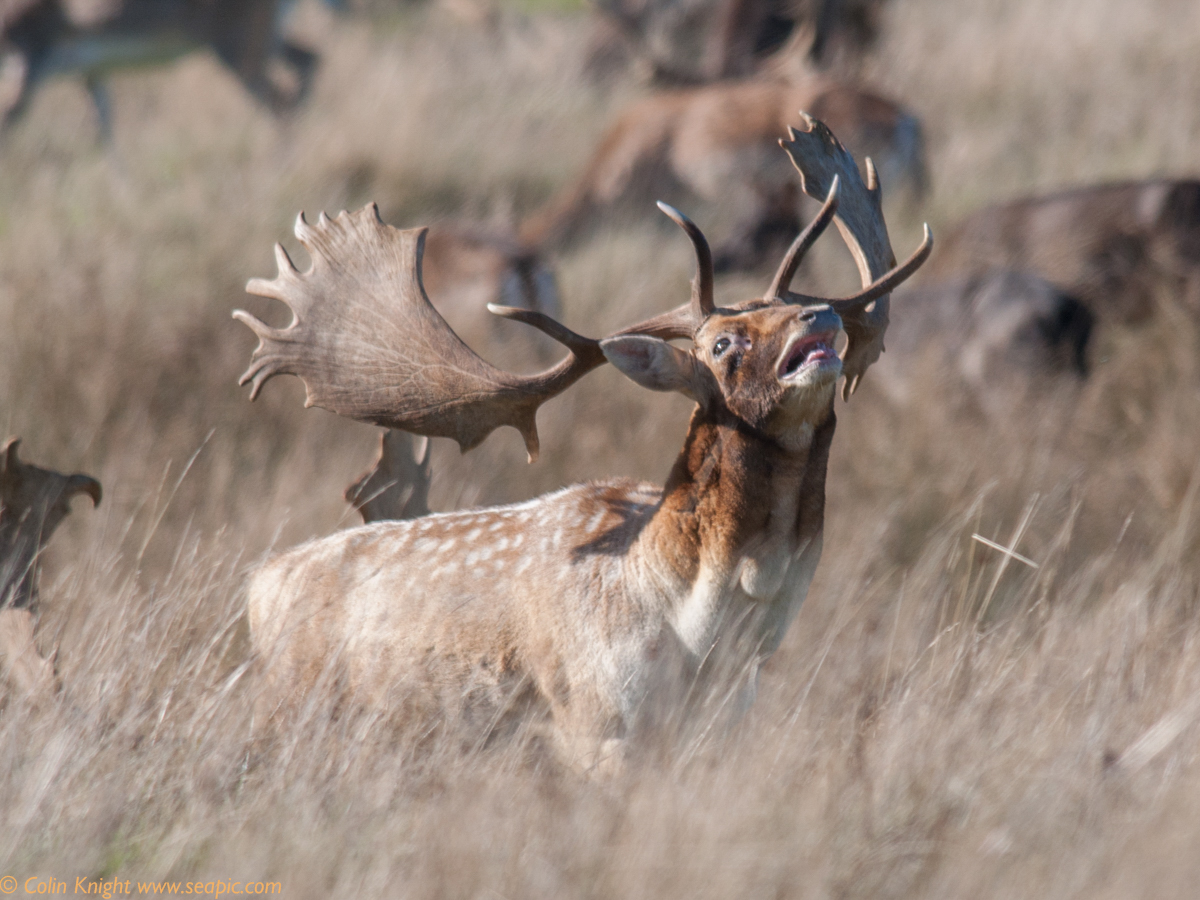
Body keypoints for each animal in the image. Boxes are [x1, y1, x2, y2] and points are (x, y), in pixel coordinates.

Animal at [0, 0, 321, 139]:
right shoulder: (90, 74)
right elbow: (105, 133)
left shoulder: (27, 66)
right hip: (261, 43)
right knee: (308, 61)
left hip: (236, 51)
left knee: (281, 104)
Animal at [233, 115, 932, 770]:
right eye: (721, 343)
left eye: (793, 305)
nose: (820, 313)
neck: (706, 633)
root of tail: (259, 583)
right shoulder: (595, 731)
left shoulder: (722, 730)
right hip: (291, 715)